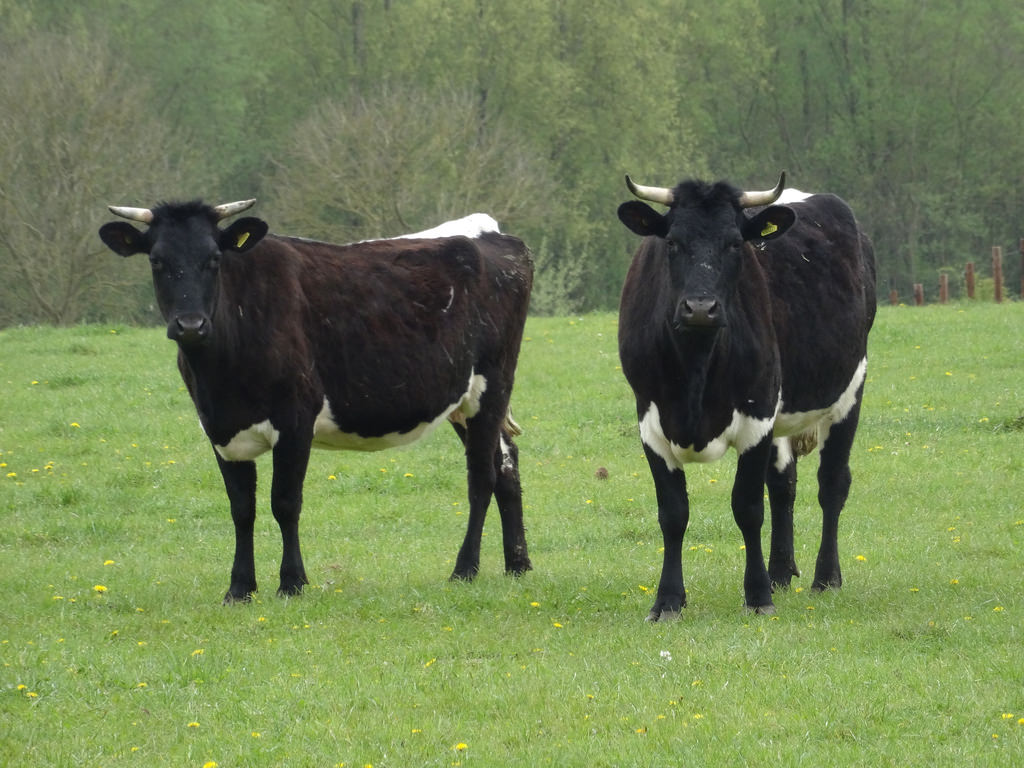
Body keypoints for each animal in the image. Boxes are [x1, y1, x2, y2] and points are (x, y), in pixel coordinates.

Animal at [99, 200, 533, 603]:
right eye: (156, 260)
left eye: (214, 259)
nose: (190, 325)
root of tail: (490, 231)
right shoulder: (219, 429)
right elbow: (241, 509)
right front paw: (239, 588)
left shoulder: (295, 420)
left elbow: (285, 502)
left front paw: (292, 583)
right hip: (462, 401)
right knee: (506, 464)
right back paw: (518, 564)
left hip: (491, 386)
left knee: (482, 477)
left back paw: (465, 569)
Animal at [616, 172, 876, 619]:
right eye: (672, 243)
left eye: (735, 243)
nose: (700, 308)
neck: (696, 368)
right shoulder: (650, 421)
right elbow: (673, 513)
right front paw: (668, 600)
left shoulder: (758, 415)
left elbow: (748, 508)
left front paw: (757, 596)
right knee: (784, 485)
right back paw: (781, 572)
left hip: (848, 392)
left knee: (832, 485)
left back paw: (825, 578)